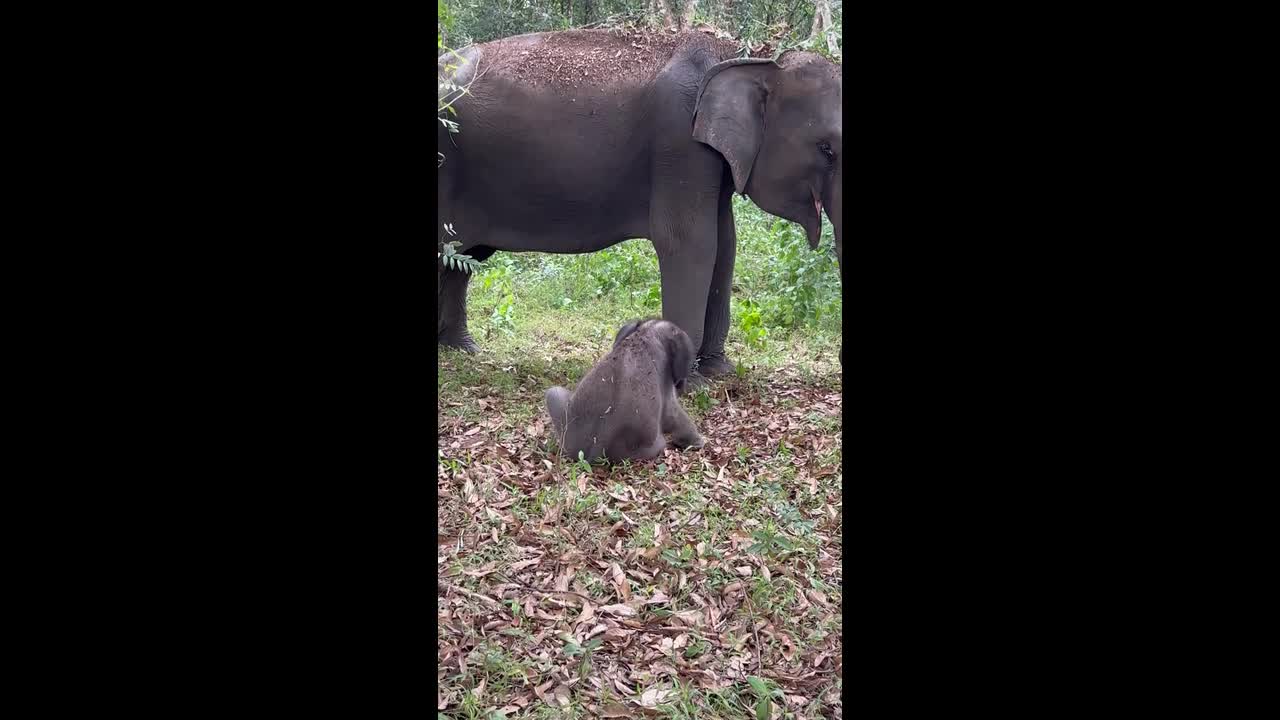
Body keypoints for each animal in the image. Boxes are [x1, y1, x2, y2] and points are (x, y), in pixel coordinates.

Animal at [438, 29, 842, 375]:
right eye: (826, 149)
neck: (747, 55)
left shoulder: (713, 163)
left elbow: (726, 245)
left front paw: (718, 370)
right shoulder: (679, 142)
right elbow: (689, 242)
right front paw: (687, 382)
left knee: (465, 258)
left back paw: (461, 349)